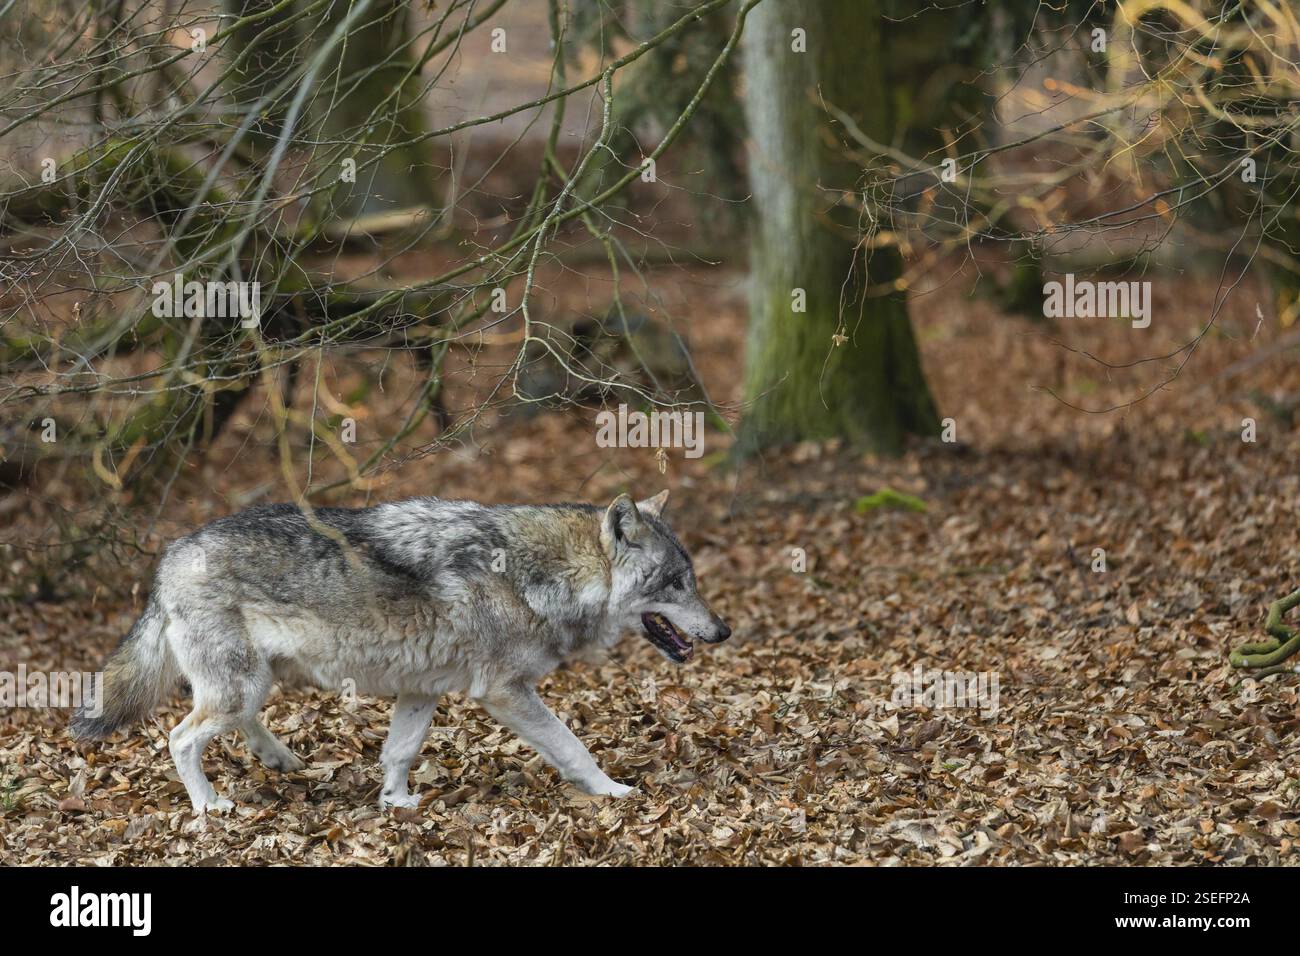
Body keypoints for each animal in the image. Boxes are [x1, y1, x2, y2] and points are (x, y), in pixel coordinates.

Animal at [71, 490, 729, 813]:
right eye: (676, 582)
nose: (722, 631)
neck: (536, 574)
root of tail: (169, 556)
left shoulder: (422, 688)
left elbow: (400, 751)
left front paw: (397, 803)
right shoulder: (505, 694)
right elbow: (572, 747)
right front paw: (612, 791)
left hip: (256, 683)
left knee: (236, 724)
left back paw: (280, 760)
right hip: (239, 686)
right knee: (180, 739)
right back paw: (210, 806)